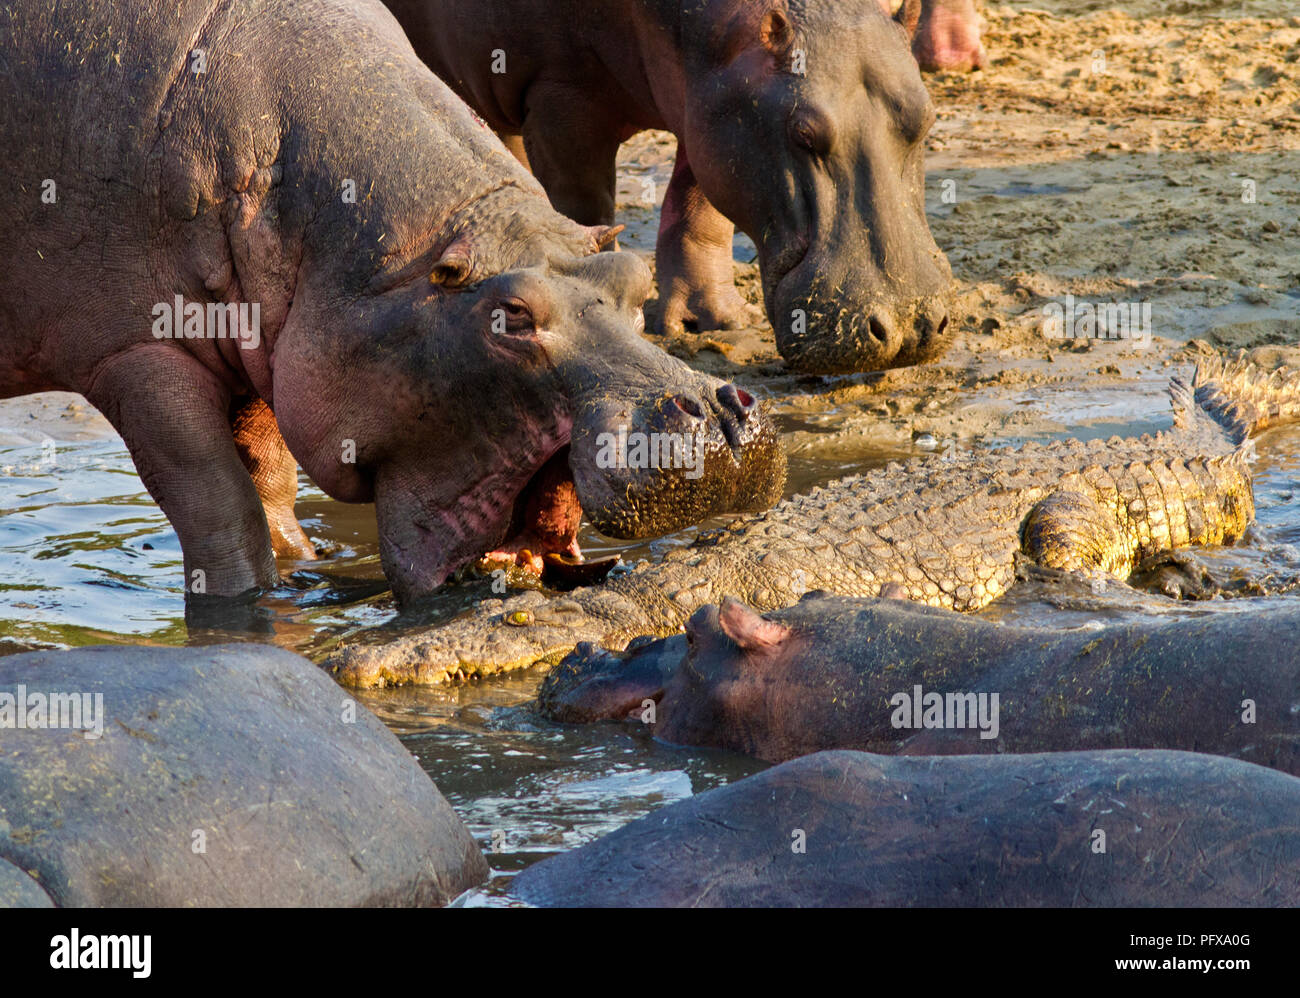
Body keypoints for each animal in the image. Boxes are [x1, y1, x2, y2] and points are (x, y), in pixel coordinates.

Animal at [0, 0, 785, 607]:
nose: (720, 417)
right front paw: (244, 607)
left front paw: (303, 572)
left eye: (631, 278)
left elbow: (269, 477)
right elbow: (217, 502)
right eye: (513, 315)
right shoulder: (135, 352)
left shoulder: (267, 335)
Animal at [384, 0, 954, 373]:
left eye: (926, 117)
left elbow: (699, 211)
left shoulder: (707, 110)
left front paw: (714, 322)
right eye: (803, 133)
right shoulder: (559, 95)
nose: (911, 327)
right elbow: (584, 207)